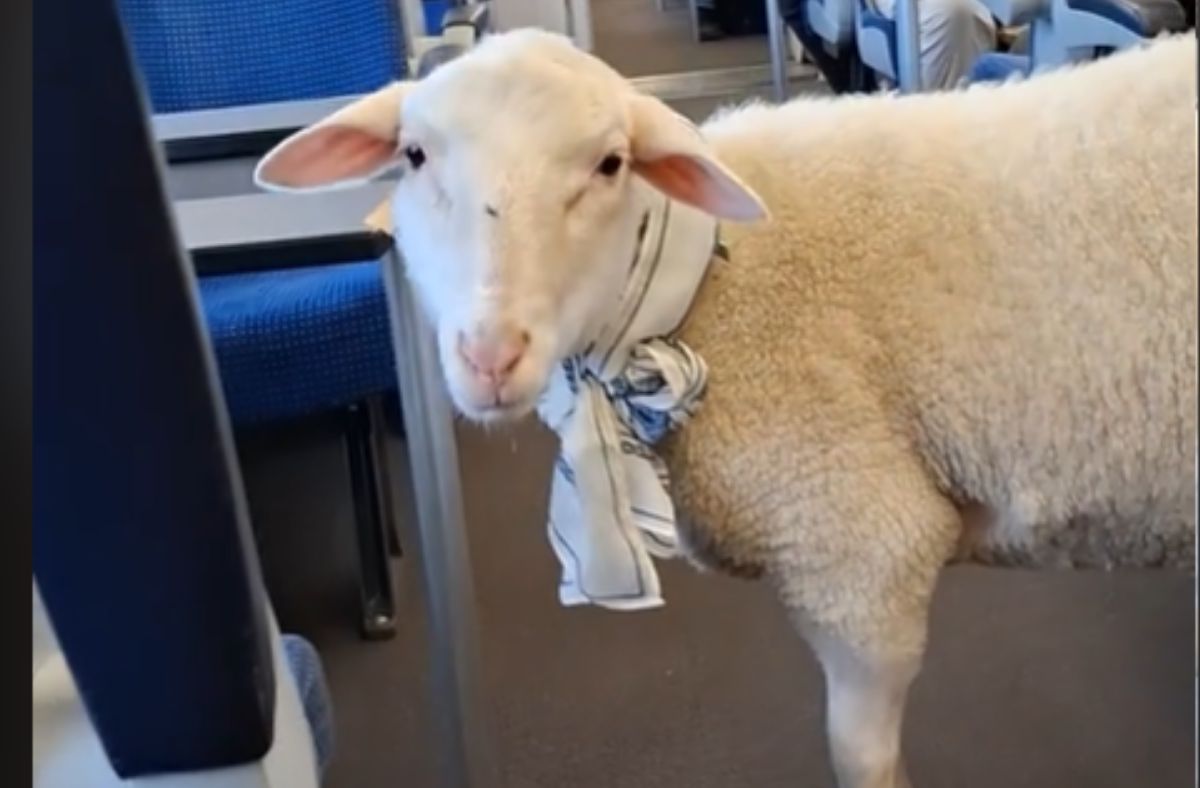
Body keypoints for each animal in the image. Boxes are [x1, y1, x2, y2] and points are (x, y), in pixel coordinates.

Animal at [253, 29, 1197, 788]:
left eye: (609, 164)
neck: (706, 282)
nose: (490, 355)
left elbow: (860, 757)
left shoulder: (857, 550)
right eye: (414, 156)